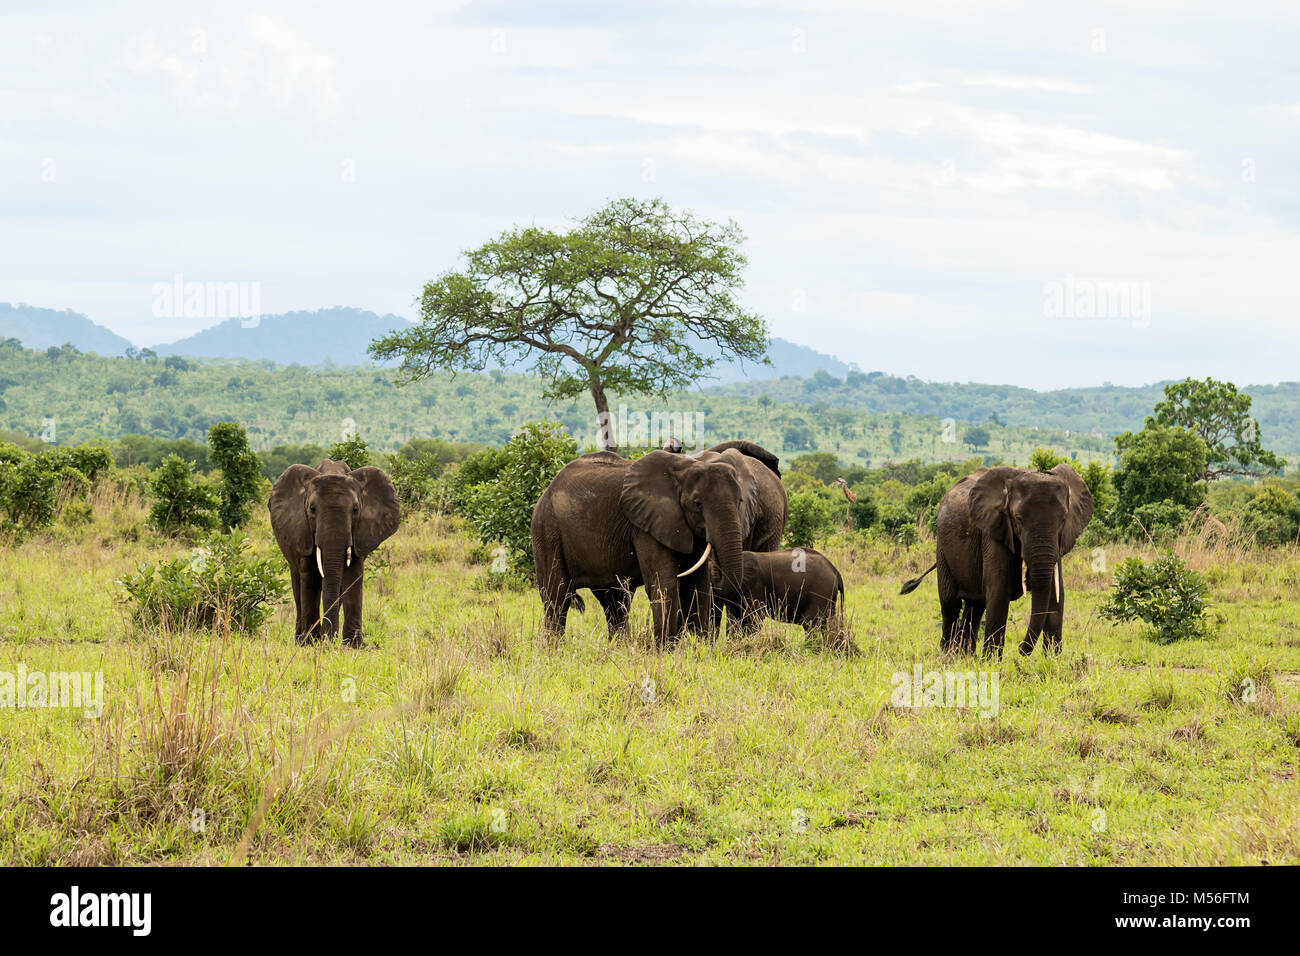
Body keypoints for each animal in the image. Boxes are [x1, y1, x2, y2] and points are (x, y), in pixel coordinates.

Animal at [269, 459, 400, 645]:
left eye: (355, 510)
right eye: (312, 509)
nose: (327, 640)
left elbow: (352, 576)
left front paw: (353, 645)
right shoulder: (303, 531)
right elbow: (310, 577)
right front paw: (311, 643)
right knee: (297, 585)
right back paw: (300, 640)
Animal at [530, 440, 787, 645]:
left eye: (740, 501)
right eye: (697, 504)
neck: (685, 468)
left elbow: (698, 584)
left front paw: (700, 648)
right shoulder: (647, 524)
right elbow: (664, 582)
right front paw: (666, 650)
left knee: (614, 600)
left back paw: (618, 647)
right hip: (546, 530)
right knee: (557, 594)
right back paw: (554, 650)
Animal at [900, 464, 1092, 656]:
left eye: (1063, 519)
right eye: (1018, 519)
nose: (1020, 650)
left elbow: (1055, 598)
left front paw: (1052, 660)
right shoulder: (993, 533)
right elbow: (999, 594)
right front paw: (991, 662)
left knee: (975, 607)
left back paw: (965, 657)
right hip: (942, 548)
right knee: (950, 604)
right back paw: (949, 656)